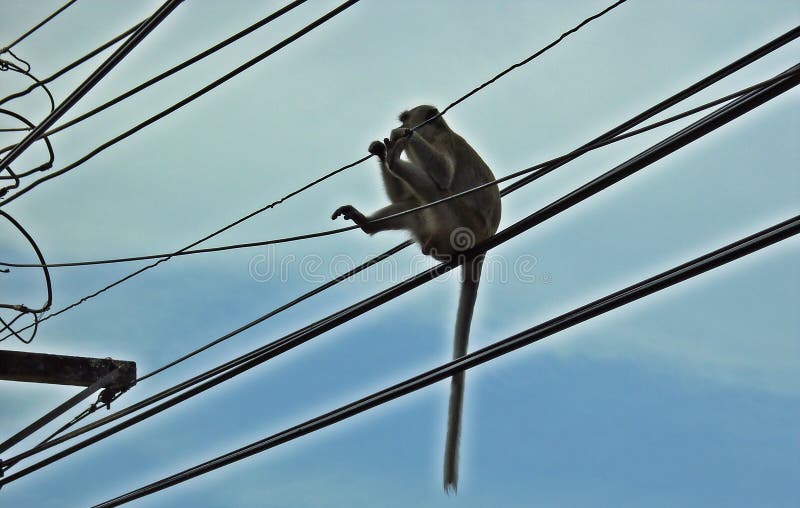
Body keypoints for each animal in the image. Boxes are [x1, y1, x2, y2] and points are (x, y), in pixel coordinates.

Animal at [332, 105, 501, 493]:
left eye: (408, 116)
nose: (403, 124)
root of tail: (482, 244)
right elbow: (405, 199)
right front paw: (381, 150)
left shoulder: (444, 144)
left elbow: (443, 174)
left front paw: (397, 143)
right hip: (435, 226)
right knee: (411, 202)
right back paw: (371, 222)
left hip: (460, 224)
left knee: (436, 190)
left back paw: (396, 164)